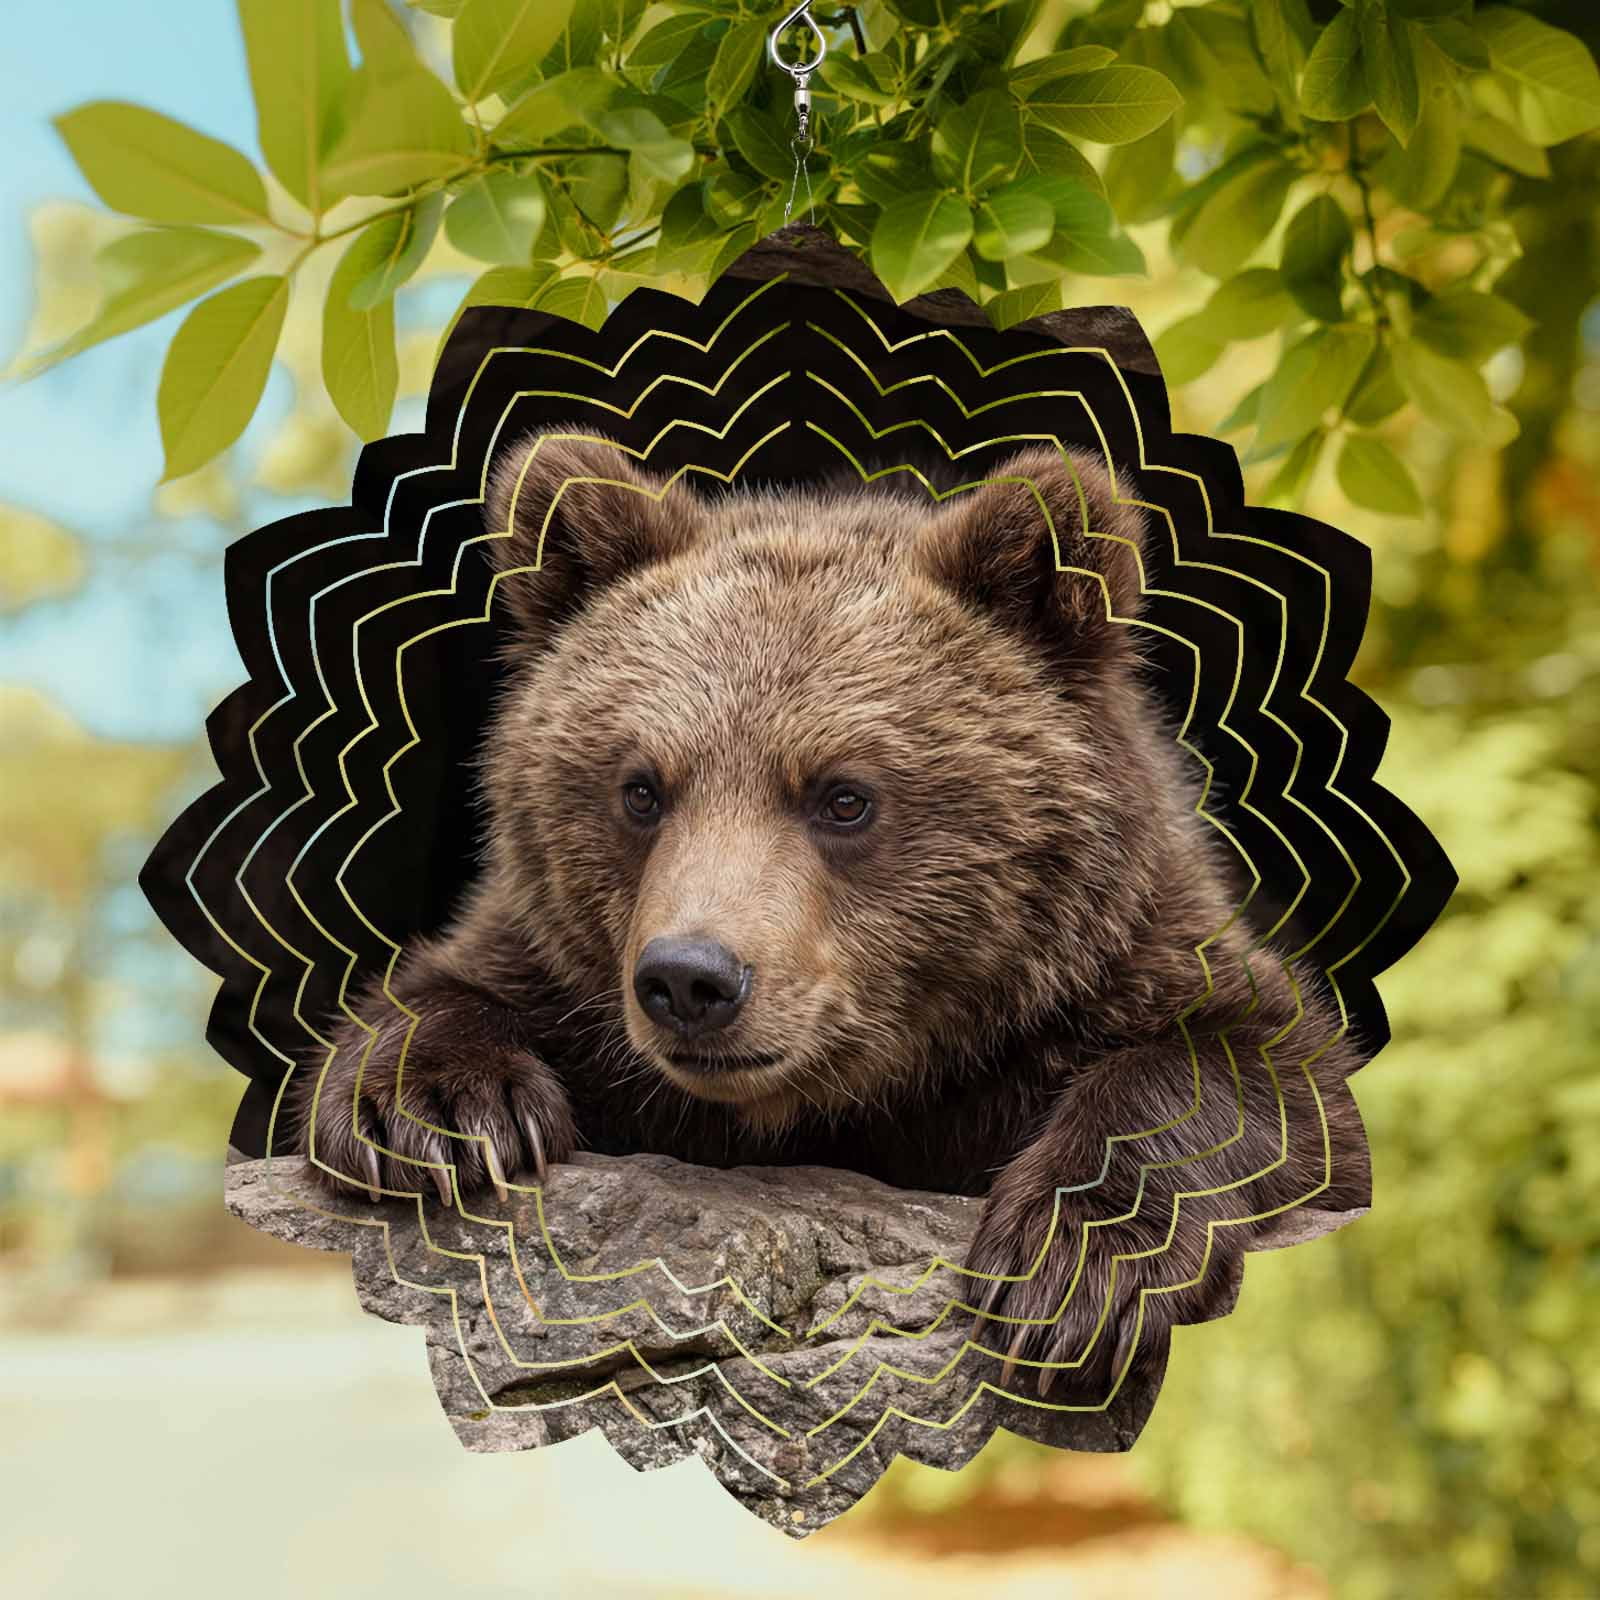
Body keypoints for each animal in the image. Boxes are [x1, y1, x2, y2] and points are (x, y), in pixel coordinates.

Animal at [294, 427, 1371, 1398]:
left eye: (843, 796)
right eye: (641, 788)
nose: (690, 978)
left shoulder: (1105, 967)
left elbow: (1254, 1072)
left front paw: (1066, 1266)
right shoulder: (558, 970)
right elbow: (438, 999)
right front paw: (443, 1116)